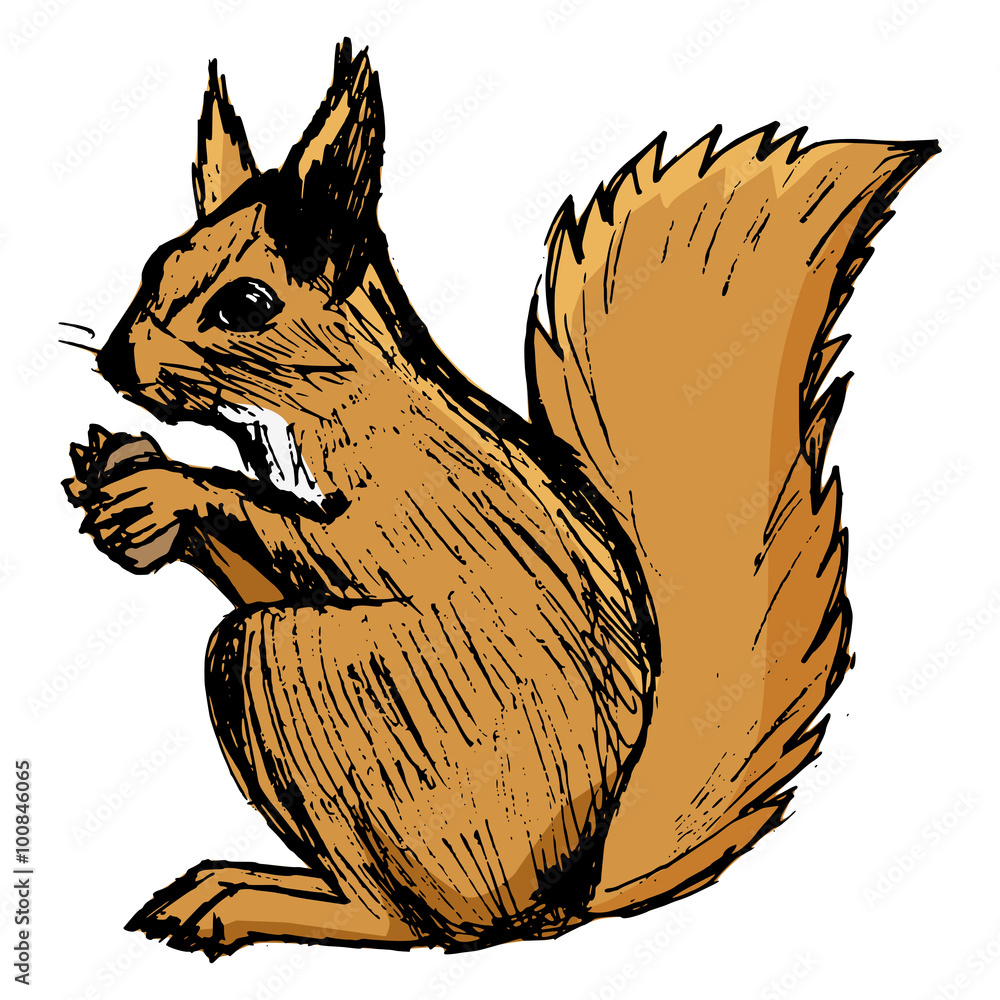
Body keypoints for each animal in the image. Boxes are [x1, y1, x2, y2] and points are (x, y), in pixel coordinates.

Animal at [64, 40, 936, 958]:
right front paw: (117, 488)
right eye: (154, 264)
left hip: (303, 675)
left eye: (246, 303)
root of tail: (561, 896)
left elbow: (325, 545)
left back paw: (256, 901)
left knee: (408, 919)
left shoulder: (409, 507)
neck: (311, 412)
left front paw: (172, 488)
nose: (117, 363)